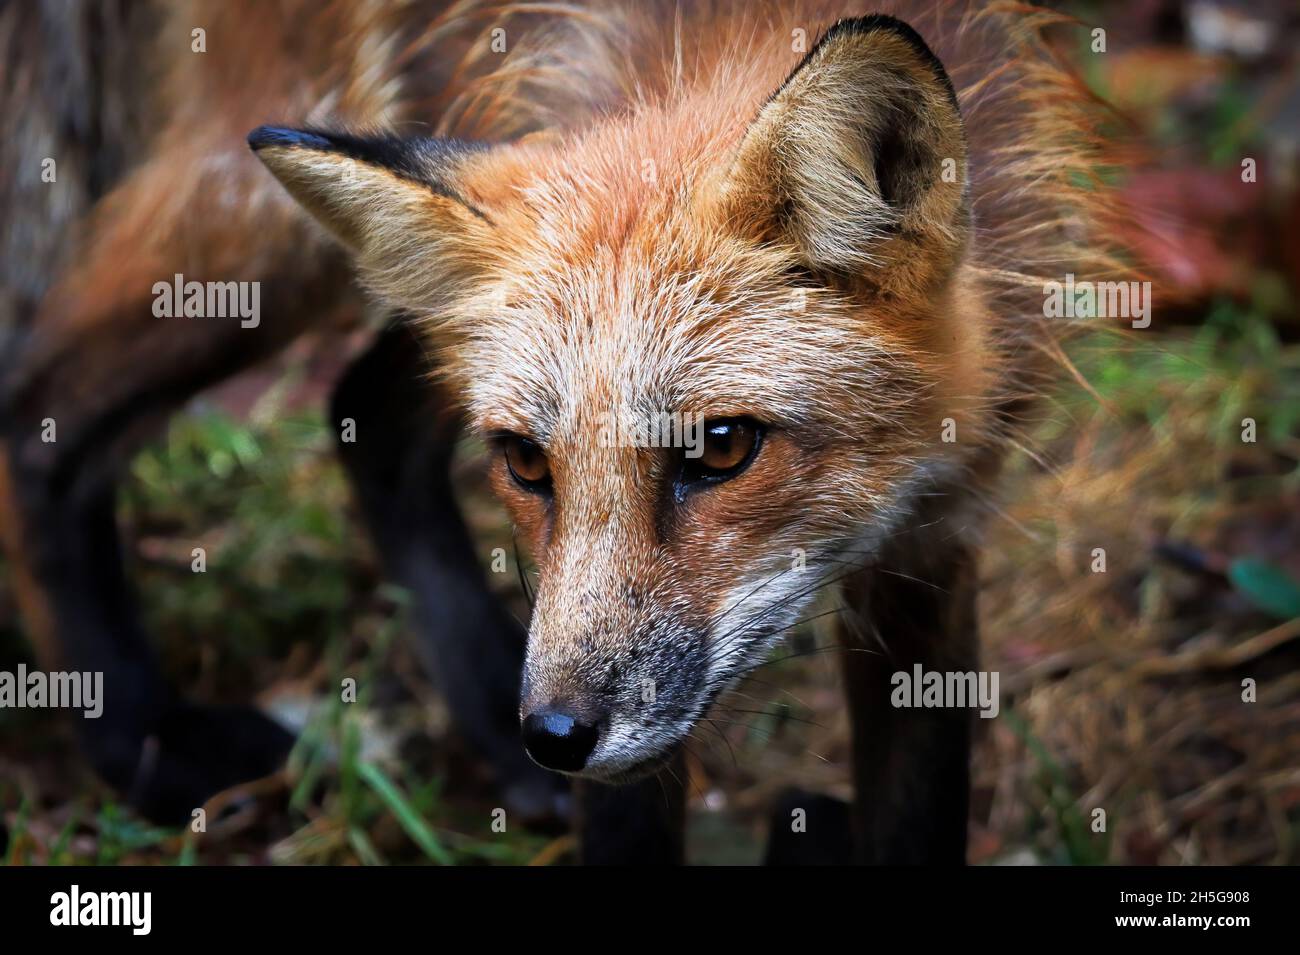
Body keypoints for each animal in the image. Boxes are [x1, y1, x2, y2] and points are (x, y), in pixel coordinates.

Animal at [0, 0, 1131, 864]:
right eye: (526, 462)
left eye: (723, 447)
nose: (553, 734)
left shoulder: (934, 534)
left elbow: (919, 813)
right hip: (261, 212)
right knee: (37, 418)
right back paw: (141, 740)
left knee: (361, 417)